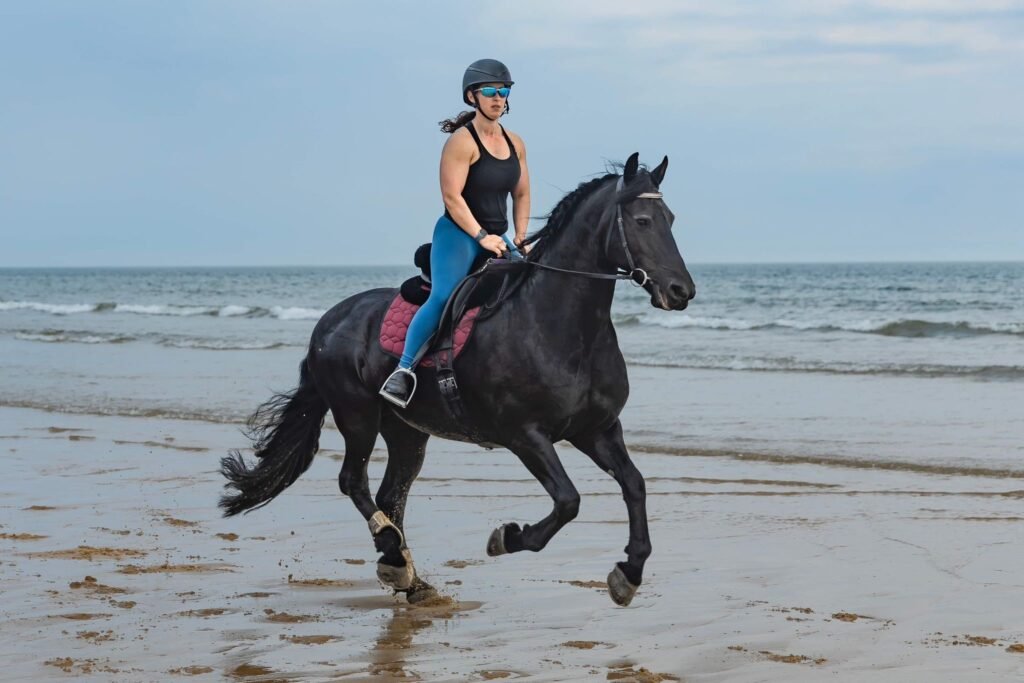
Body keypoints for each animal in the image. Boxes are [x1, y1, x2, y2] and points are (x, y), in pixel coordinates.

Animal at [219, 152, 695, 606]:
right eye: (642, 220)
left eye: (671, 219)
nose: (681, 291)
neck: (556, 325)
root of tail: (329, 322)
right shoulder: (525, 434)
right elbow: (568, 500)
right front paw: (507, 537)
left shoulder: (595, 428)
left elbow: (634, 484)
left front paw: (629, 573)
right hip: (357, 415)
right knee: (354, 481)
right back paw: (392, 555)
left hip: (408, 431)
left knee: (392, 494)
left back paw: (408, 577)